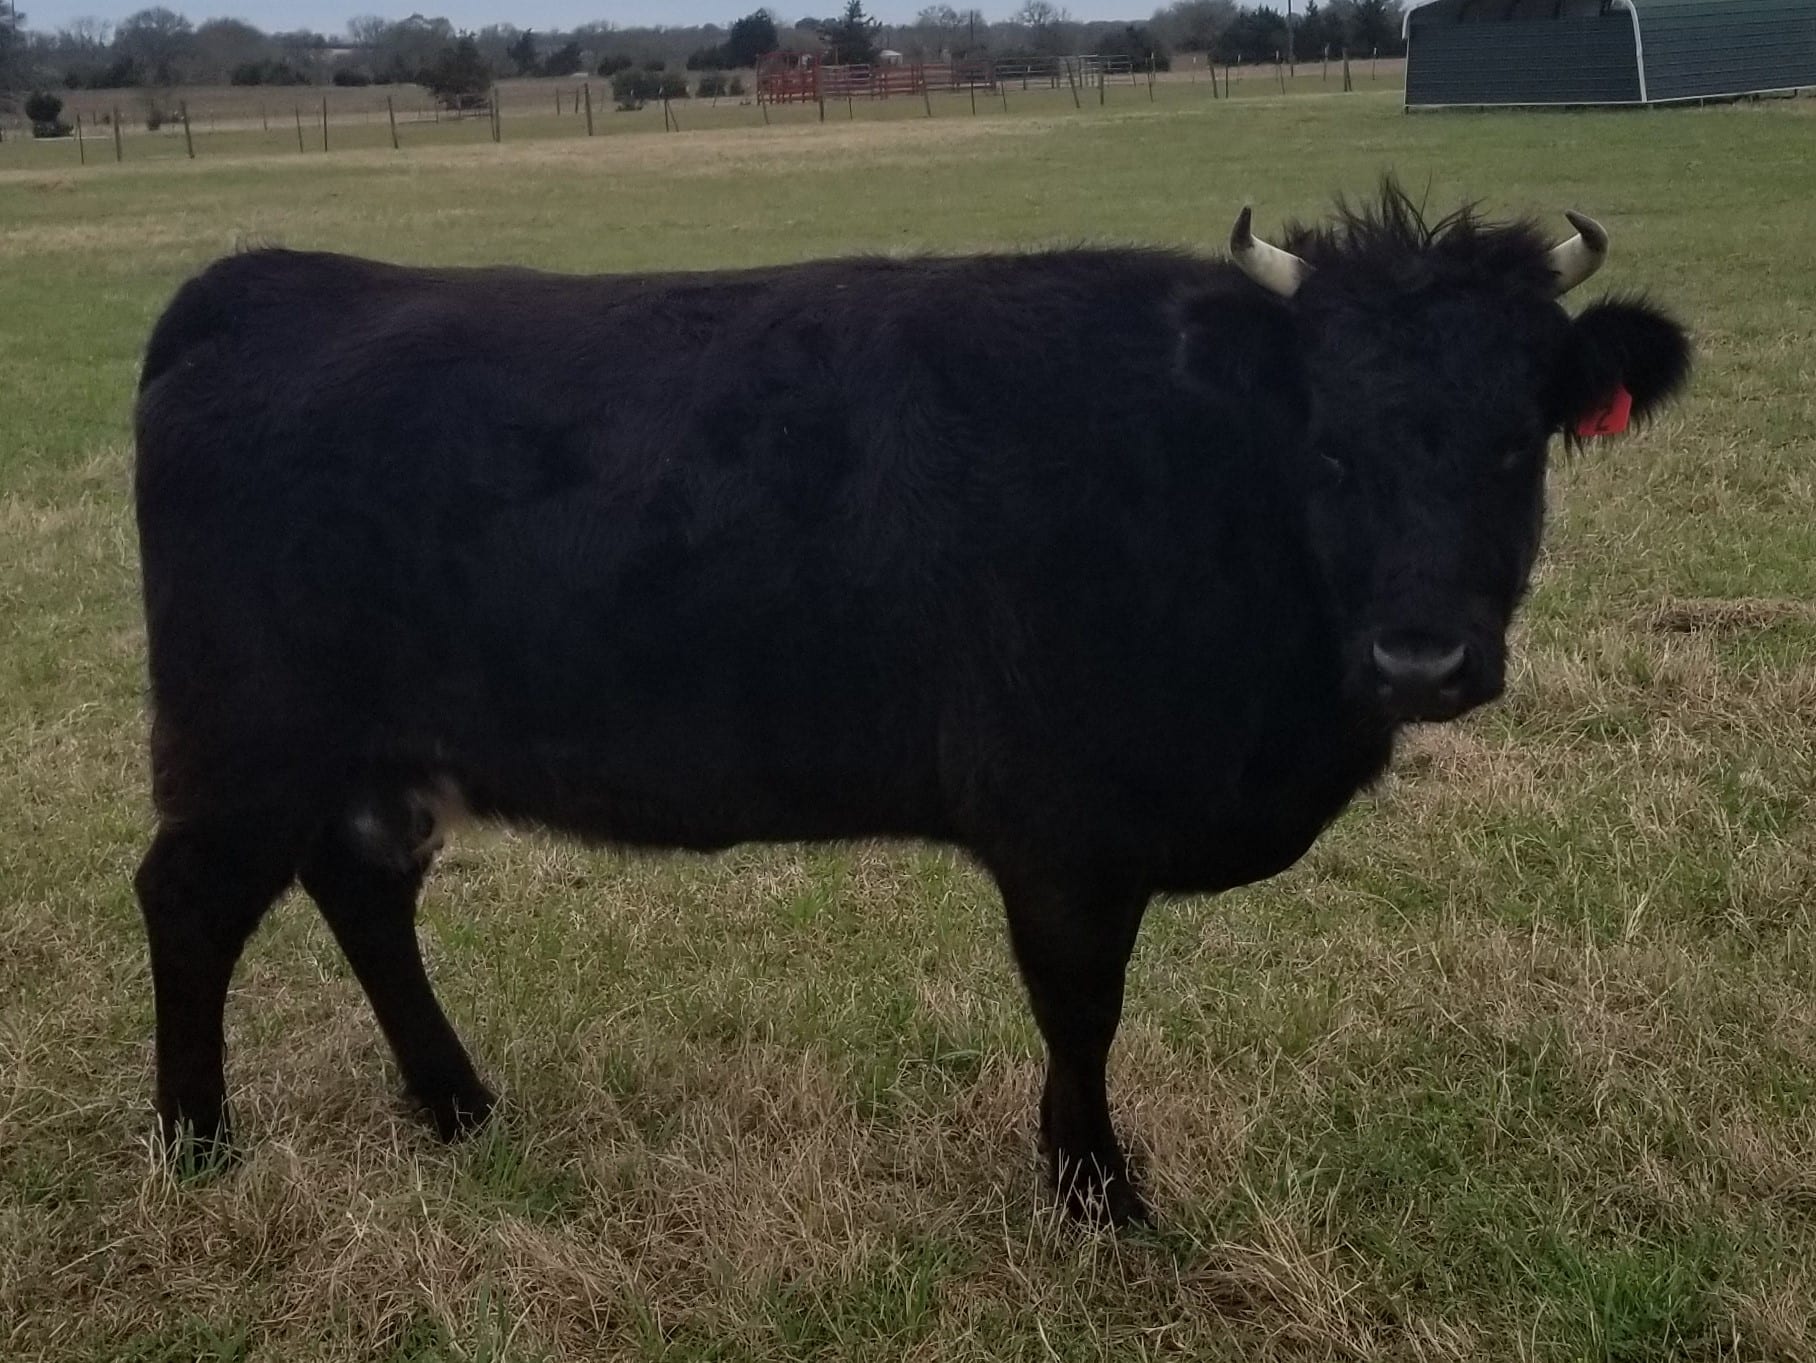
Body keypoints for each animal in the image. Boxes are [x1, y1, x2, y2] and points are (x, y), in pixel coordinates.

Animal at [132, 181, 1689, 1225]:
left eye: (1514, 443)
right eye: (1329, 447)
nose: (1421, 660)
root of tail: (269, 281)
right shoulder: (1063, 827)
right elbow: (1081, 1006)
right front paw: (1095, 1194)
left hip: (363, 758)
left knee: (362, 890)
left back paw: (458, 1105)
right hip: (247, 741)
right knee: (191, 901)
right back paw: (196, 1144)